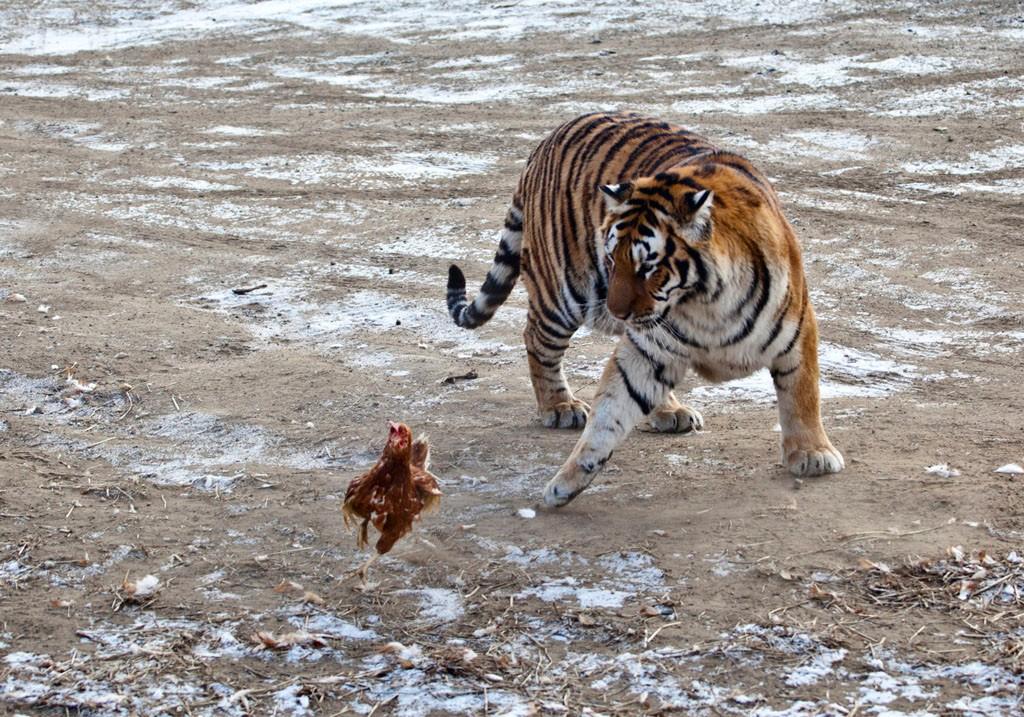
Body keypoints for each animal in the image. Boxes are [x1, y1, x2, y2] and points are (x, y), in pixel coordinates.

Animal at [446, 112, 844, 507]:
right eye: (611, 258)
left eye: (648, 267)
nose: (615, 311)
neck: (706, 304)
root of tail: (548, 138)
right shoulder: (647, 347)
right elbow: (609, 414)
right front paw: (566, 480)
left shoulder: (798, 330)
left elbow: (802, 396)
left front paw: (813, 455)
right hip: (562, 294)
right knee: (536, 339)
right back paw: (560, 407)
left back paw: (670, 411)